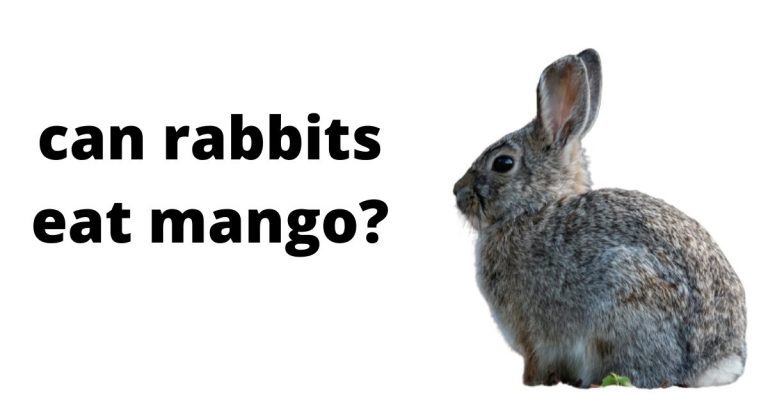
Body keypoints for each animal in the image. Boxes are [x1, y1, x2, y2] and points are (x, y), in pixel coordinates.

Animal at [453, 49, 746, 388]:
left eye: (502, 163)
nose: (457, 191)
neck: (533, 209)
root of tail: (711, 364)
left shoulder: (533, 337)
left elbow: (535, 364)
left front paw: (529, 385)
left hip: (624, 299)